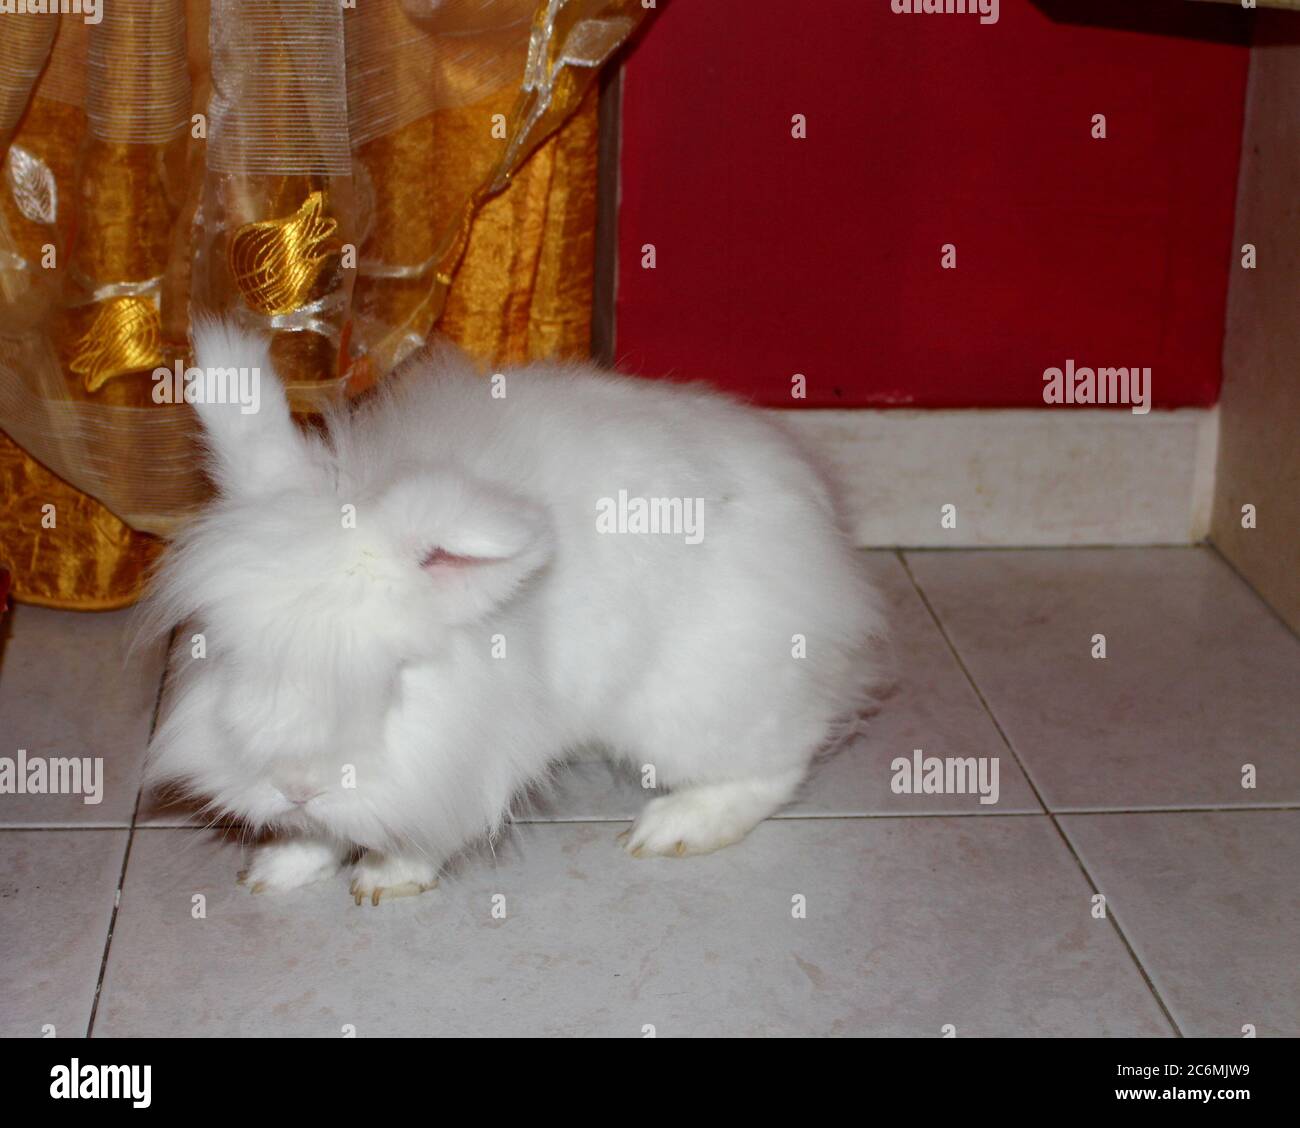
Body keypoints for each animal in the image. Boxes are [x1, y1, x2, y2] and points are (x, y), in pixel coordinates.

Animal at [142, 318, 884, 905]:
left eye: (395, 681)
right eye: (228, 658)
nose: (296, 785)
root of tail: (825, 533)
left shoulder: (468, 757)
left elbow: (430, 821)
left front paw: (387, 877)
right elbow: (330, 831)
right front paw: (278, 867)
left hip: (698, 709)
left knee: (776, 765)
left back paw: (674, 826)